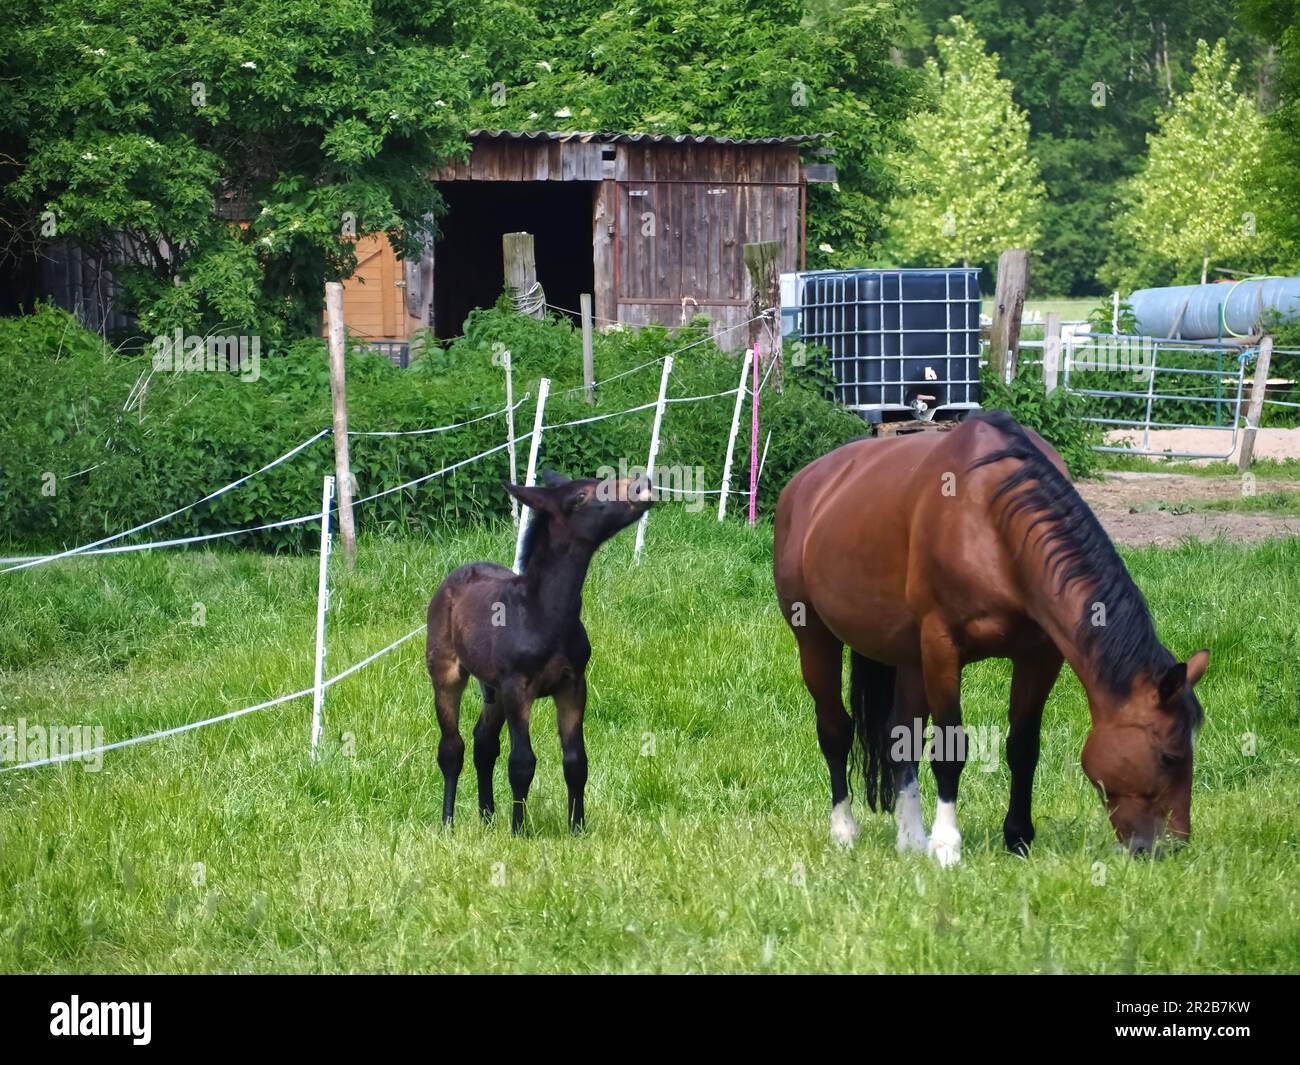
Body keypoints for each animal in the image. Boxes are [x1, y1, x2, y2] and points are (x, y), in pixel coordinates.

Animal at [426, 469, 651, 833]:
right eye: (580, 497)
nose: (641, 484)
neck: (545, 613)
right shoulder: (518, 687)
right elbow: (522, 762)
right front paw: (519, 830)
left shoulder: (572, 685)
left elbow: (576, 761)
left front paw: (577, 828)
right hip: (447, 672)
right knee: (452, 747)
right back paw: (449, 823)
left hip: (494, 690)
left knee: (483, 743)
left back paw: (487, 817)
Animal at [773, 409, 1208, 864]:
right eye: (1170, 756)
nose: (1171, 847)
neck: (994, 524)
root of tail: (804, 485)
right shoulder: (942, 648)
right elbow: (950, 749)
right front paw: (947, 845)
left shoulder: (1039, 656)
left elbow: (1023, 747)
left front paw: (1017, 837)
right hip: (815, 637)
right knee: (835, 731)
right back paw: (844, 830)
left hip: (908, 658)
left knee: (900, 736)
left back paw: (911, 840)